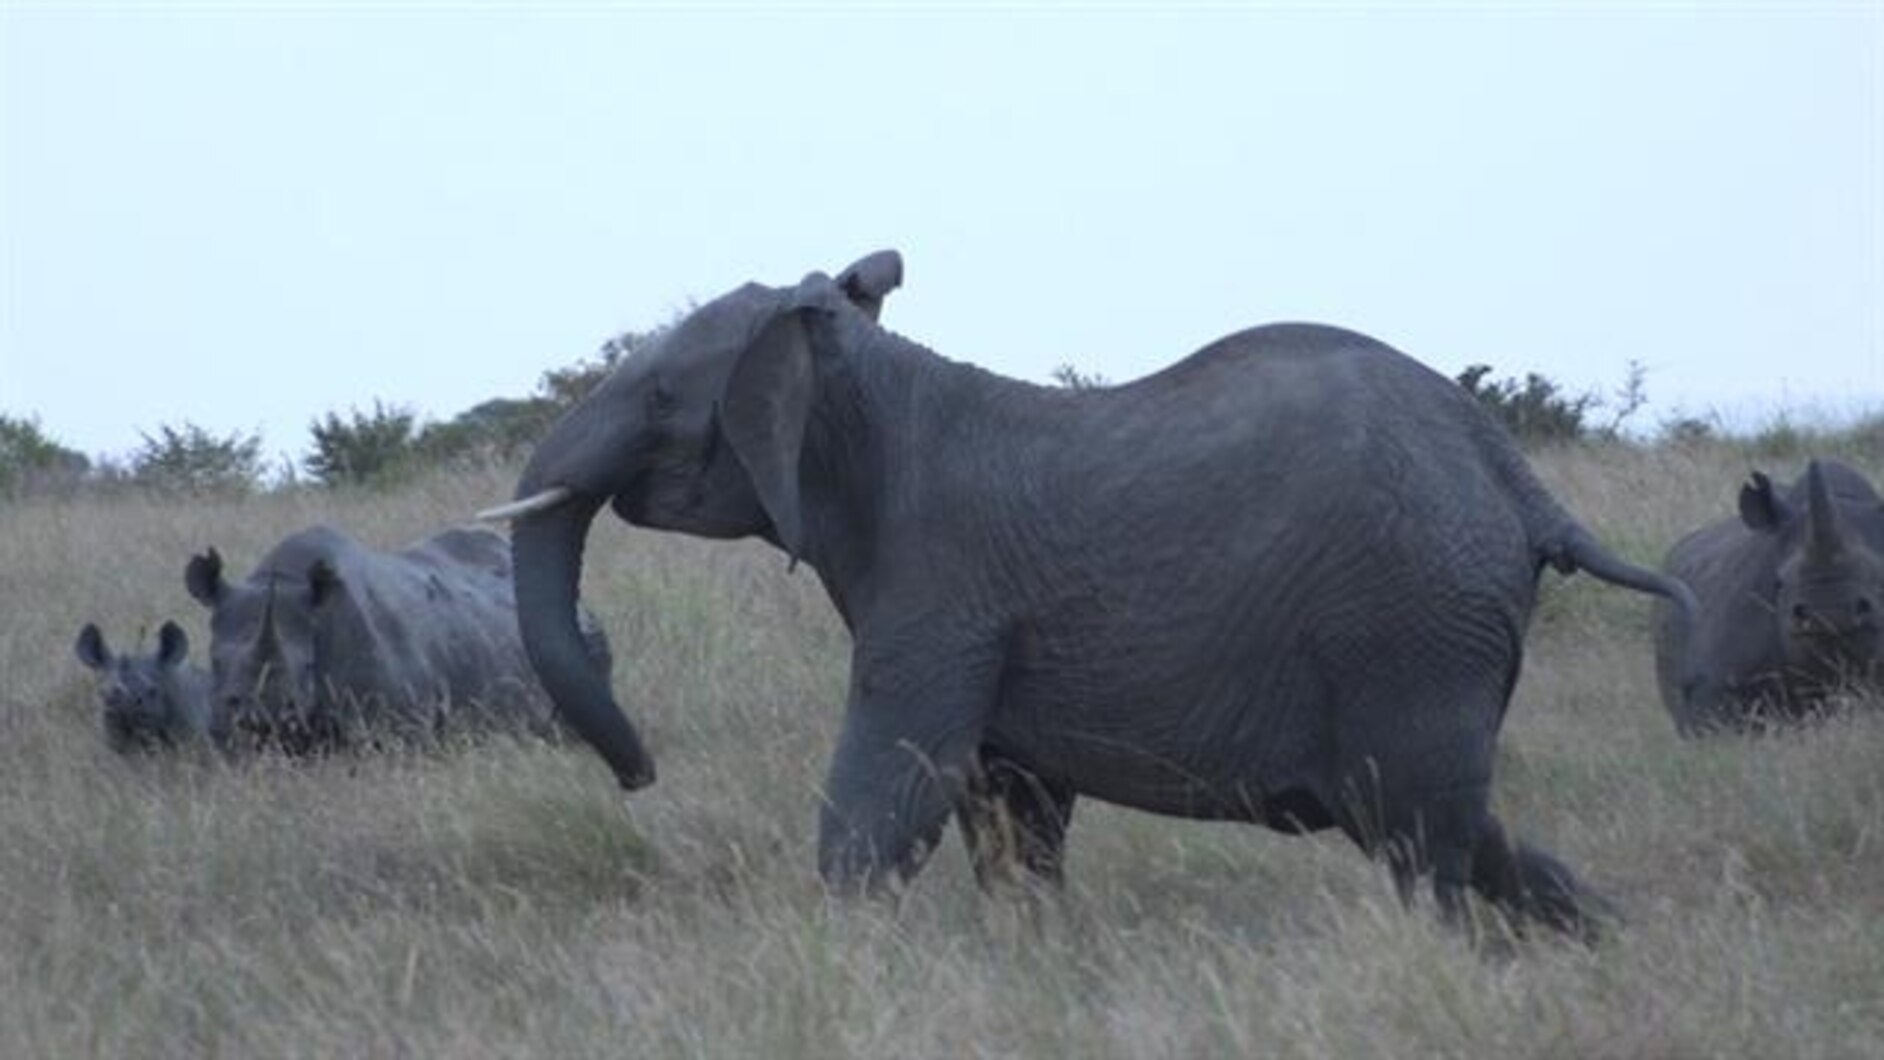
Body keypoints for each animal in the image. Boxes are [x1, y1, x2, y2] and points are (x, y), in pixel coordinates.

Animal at [482, 249, 1698, 936]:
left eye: (657, 396)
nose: (638, 776)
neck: (871, 381)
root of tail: (1522, 480)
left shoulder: (941, 590)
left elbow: (890, 799)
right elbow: (1010, 810)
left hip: (1410, 622)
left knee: (1419, 844)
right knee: (1471, 835)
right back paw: (1610, 945)